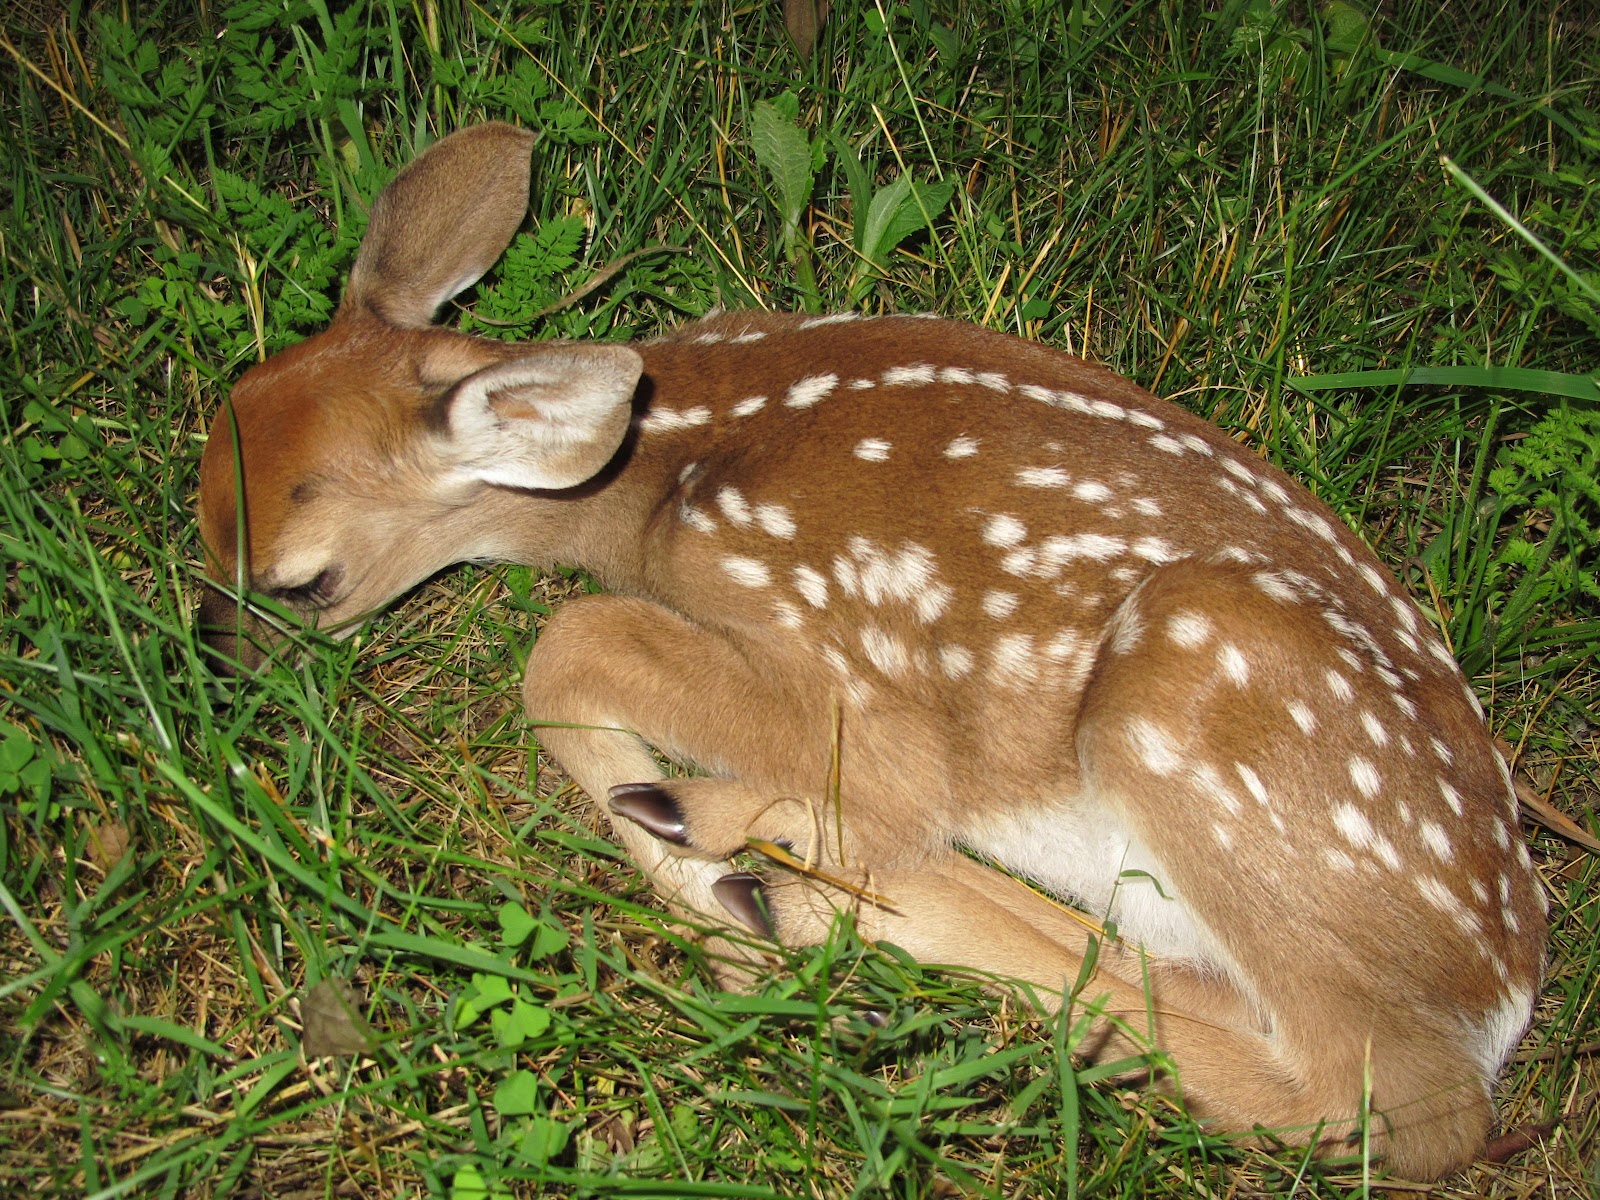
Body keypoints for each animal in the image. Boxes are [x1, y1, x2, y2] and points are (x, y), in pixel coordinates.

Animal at [195, 122, 1546, 1180]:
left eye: (300, 582)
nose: (211, 654)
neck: (656, 468)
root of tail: (1509, 986)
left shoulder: (832, 648)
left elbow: (571, 639)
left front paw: (704, 885)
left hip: (1191, 684)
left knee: (1398, 1105)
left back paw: (764, 860)